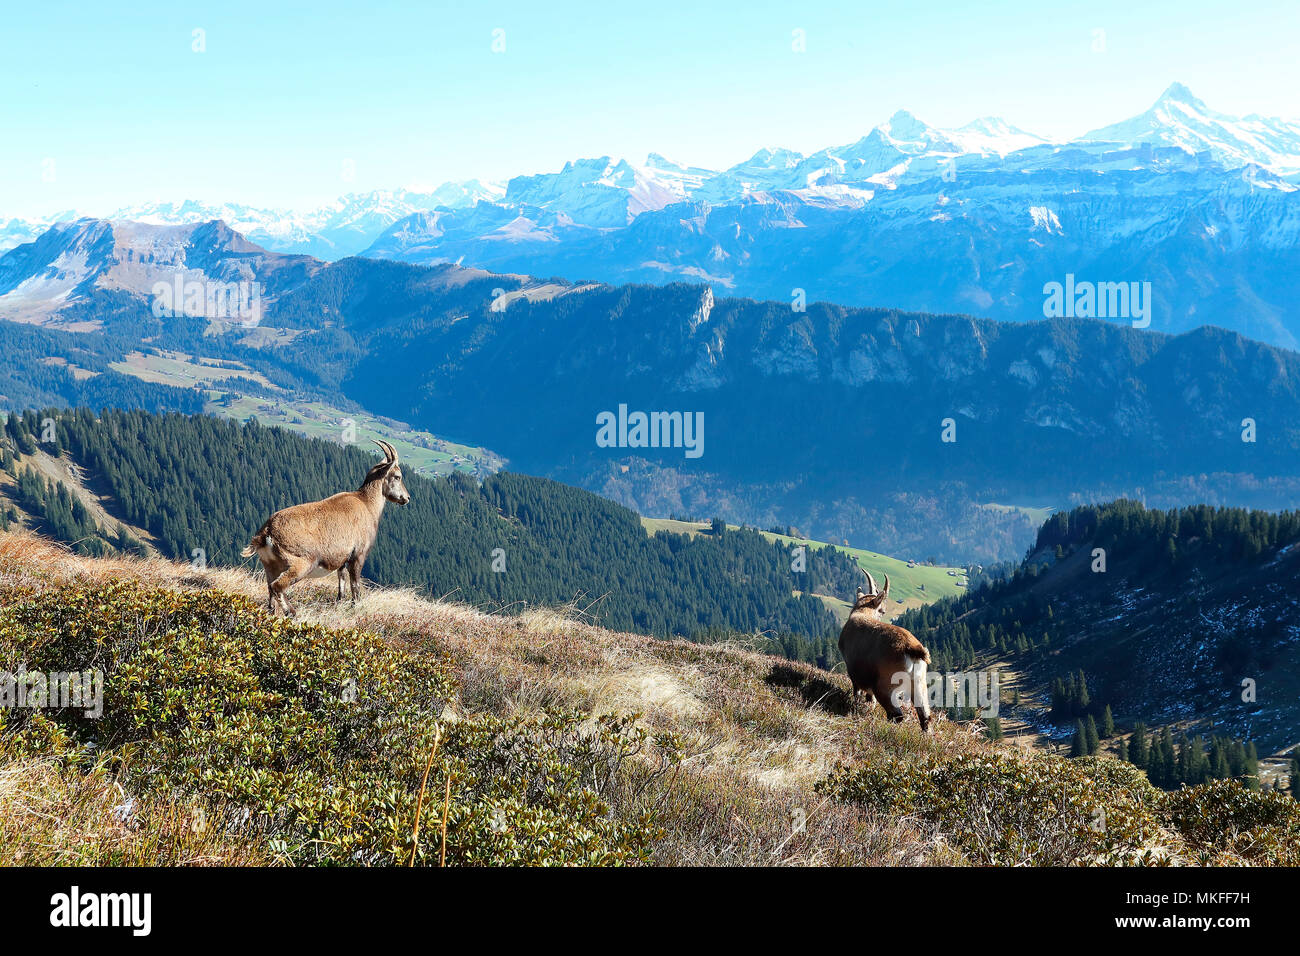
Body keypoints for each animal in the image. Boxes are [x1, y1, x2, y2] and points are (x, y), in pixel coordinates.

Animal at [240, 439, 410, 615]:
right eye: (397, 476)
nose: (406, 498)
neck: (367, 504)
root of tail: (266, 532)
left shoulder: (342, 560)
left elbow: (341, 584)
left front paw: (339, 603)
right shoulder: (358, 555)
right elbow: (355, 585)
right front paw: (356, 606)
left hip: (270, 566)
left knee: (270, 590)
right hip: (301, 562)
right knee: (277, 586)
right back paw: (292, 612)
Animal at [839, 568, 932, 730]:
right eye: (882, 611)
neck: (861, 612)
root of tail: (912, 648)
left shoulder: (854, 671)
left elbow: (858, 691)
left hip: (886, 685)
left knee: (897, 715)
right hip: (919, 684)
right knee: (925, 717)